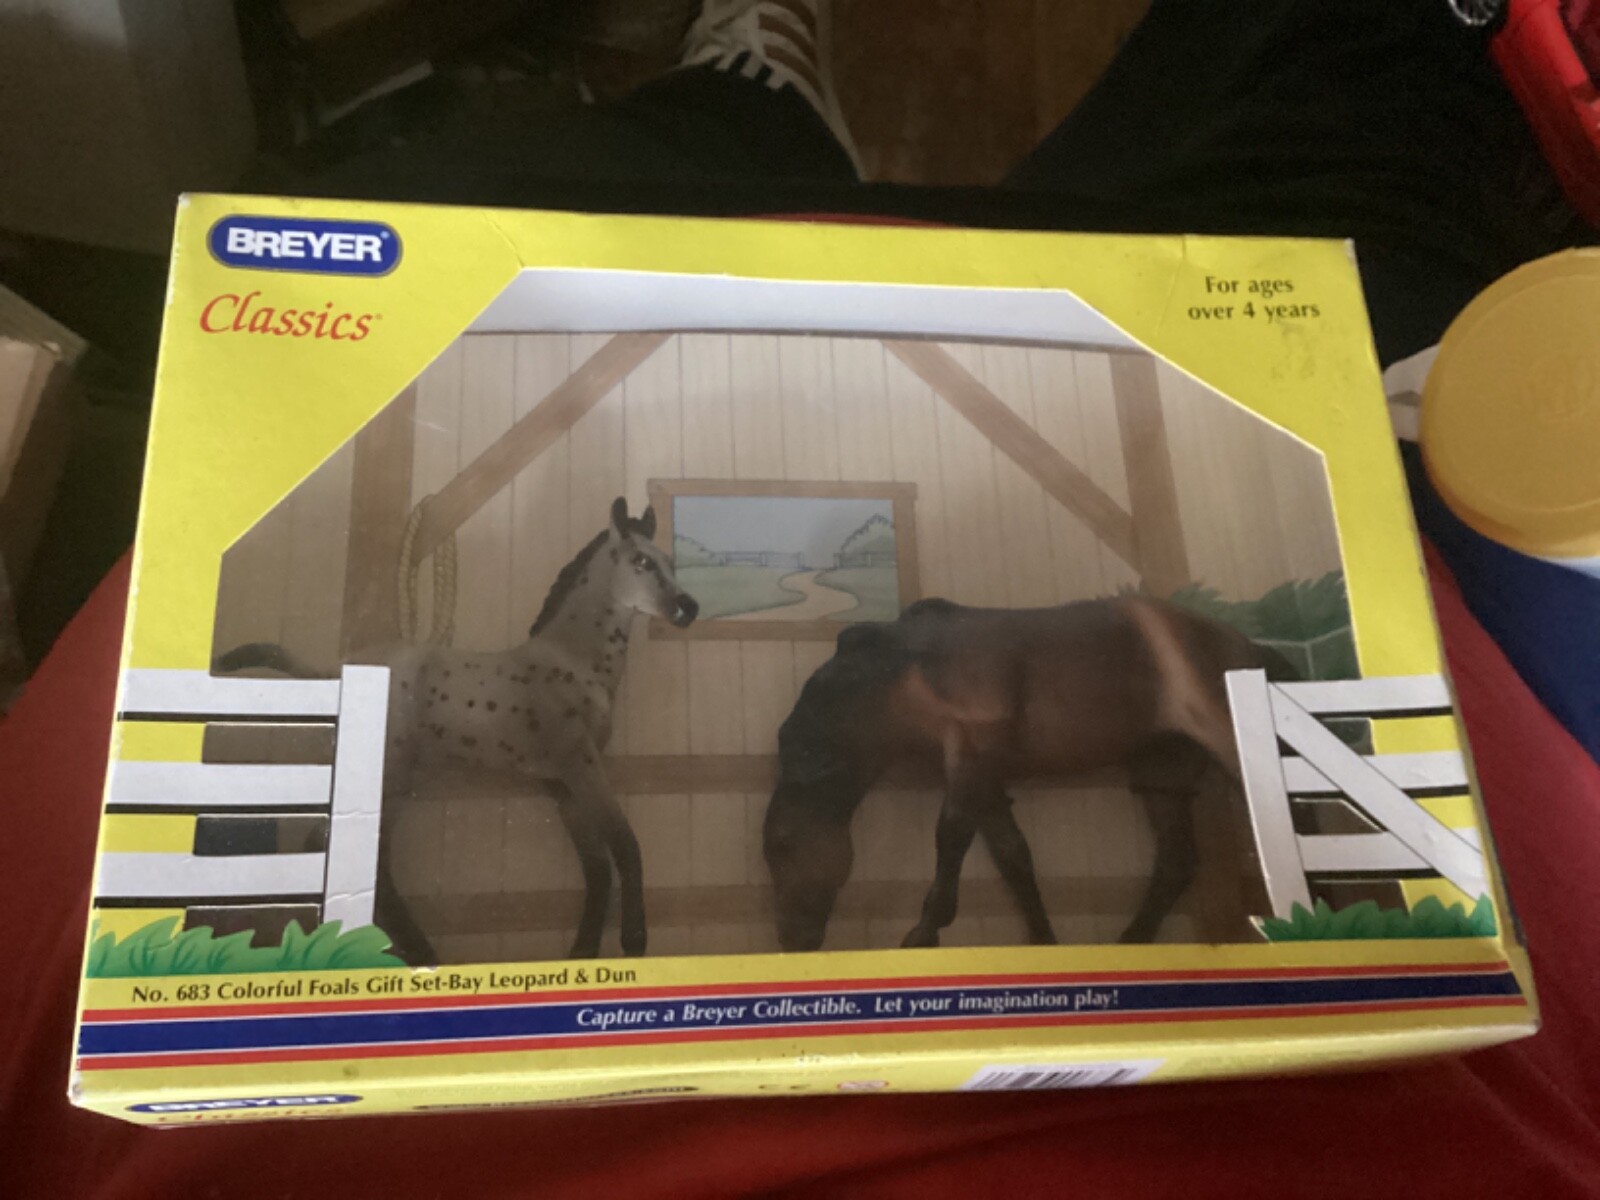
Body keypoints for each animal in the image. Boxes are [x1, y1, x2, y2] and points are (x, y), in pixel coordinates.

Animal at [217, 496, 699, 964]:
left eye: (669, 561)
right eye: (641, 561)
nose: (687, 608)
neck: (574, 661)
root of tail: (333, 673)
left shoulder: (559, 783)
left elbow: (596, 866)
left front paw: (582, 952)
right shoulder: (580, 765)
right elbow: (625, 845)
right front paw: (634, 941)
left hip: (402, 783)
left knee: (374, 862)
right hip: (388, 777)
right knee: (334, 845)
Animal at [762, 595, 1296, 953]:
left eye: (782, 848)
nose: (794, 942)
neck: (905, 671)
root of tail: (1252, 649)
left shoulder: (970, 751)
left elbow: (950, 836)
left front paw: (924, 931)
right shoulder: (984, 773)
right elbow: (1013, 856)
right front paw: (1043, 939)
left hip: (1230, 745)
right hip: (1162, 774)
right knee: (1177, 862)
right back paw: (1130, 941)